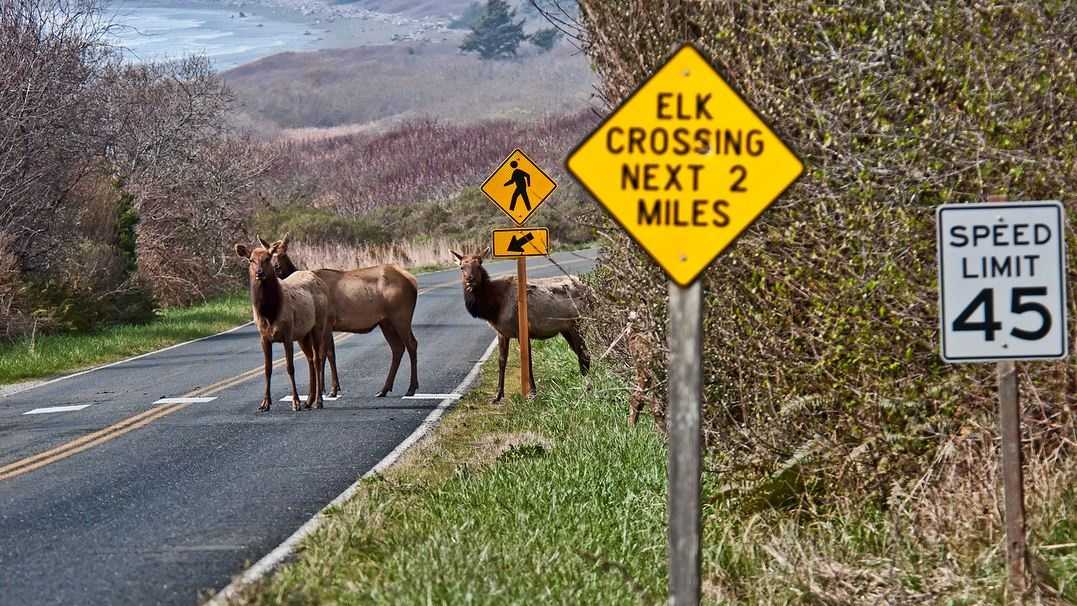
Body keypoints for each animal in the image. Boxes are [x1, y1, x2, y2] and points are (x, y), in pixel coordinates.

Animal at [235, 238, 332, 412]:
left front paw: (296, 402)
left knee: (318, 358)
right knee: (310, 358)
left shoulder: (287, 333)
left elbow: (290, 367)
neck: (269, 313)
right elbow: (267, 369)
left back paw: (318, 401)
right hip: (303, 334)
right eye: (251, 260)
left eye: (267, 258)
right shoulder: (264, 337)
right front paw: (265, 403)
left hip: (318, 325)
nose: (259, 273)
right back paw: (309, 400)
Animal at [268, 234, 420, 398]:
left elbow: (324, 354)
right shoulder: (328, 326)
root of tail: (412, 280)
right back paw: (384, 389)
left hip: (401, 316)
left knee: (412, 344)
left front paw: (327, 389)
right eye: (270, 255)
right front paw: (331, 388)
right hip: (386, 322)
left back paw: (411, 388)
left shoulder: (327, 322)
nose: (276, 268)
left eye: (283, 253)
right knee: (397, 348)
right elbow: (329, 354)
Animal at [452, 248, 590, 403]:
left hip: (577, 324)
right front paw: (498, 395)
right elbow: (502, 361)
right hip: (566, 329)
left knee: (584, 353)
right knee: (582, 353)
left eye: (479, 265)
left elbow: (527, 359)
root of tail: (591, 290)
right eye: (461, 267)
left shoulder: (521, 329)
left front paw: (532, 393)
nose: (470, 280)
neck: (493, 307)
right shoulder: (502, 332)